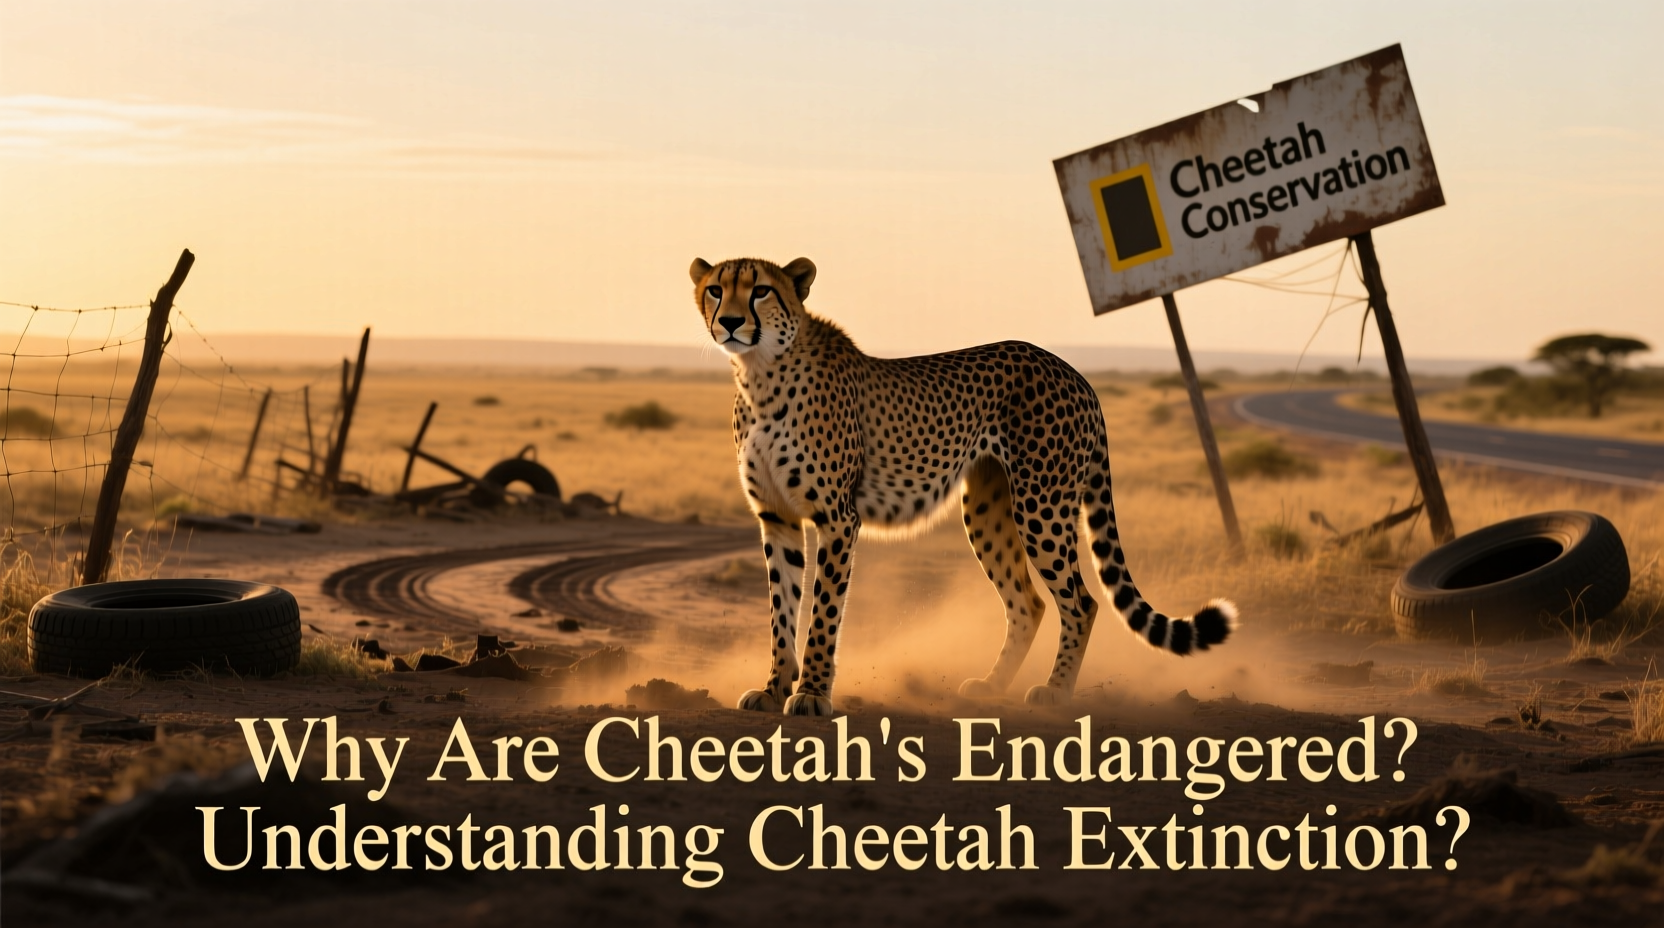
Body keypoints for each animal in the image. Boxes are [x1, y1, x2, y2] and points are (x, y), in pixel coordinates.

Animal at [690, 255, 1235, 717]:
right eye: (716, 289)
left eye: (761, 290)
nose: (731, 322)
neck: (760, 376)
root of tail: (1073, 372)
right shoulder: (777, 518)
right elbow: (781, 611)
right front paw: (773, 688)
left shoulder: (837, 518)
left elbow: (823, 612)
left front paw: (811, 695)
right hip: (988, 510)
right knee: (1029, 603)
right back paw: (993, 685)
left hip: (1042, 505)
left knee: (1081, 602)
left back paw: (1055, 692)